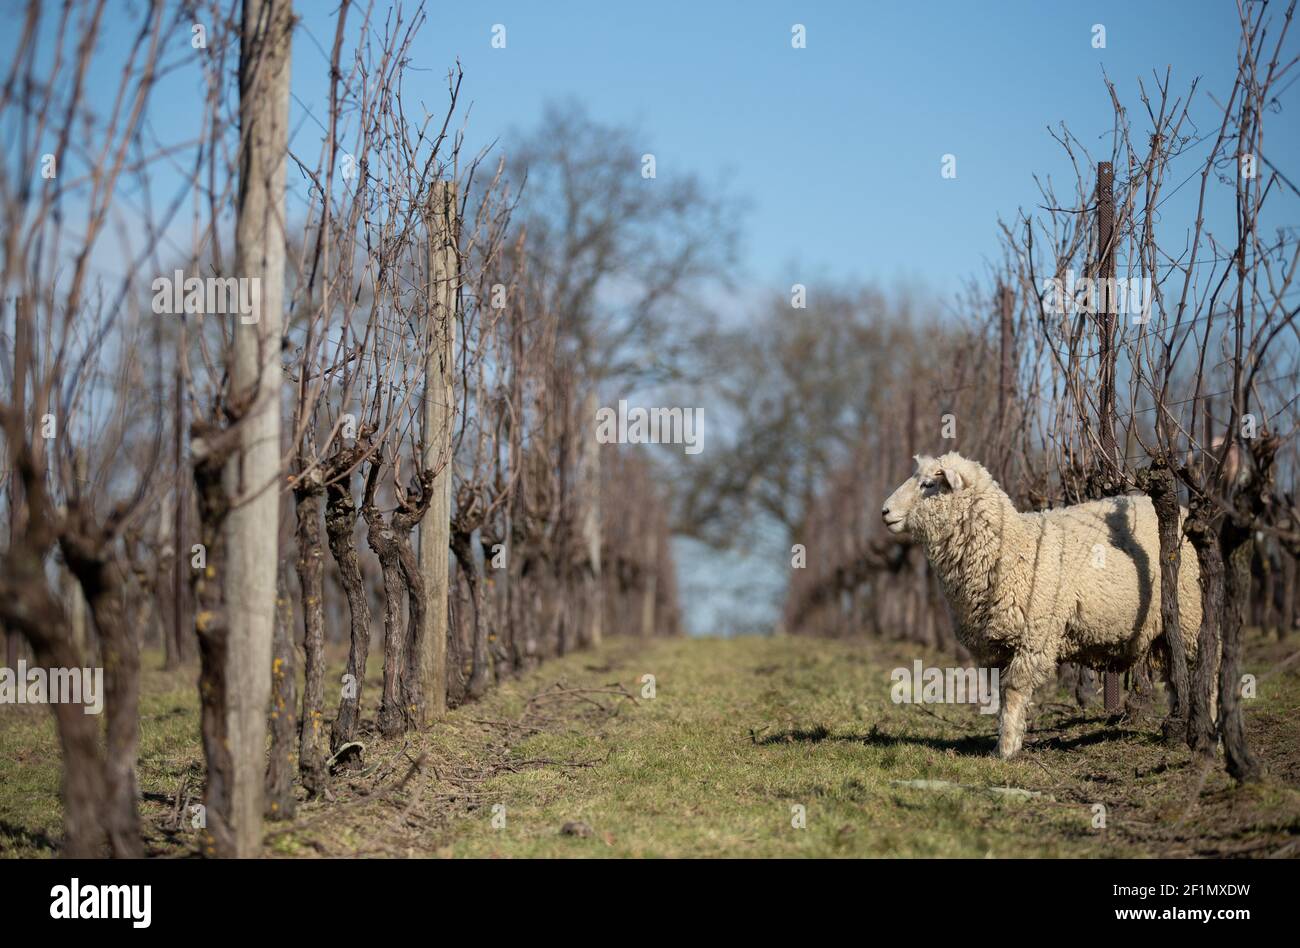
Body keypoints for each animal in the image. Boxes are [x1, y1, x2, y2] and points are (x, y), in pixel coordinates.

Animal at [881, 452, 1204, 758]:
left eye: (928, 484)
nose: (884, 511)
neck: (1011, 548)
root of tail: (1183, 513)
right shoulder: (997, 647)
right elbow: (1001, 694)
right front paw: (1004, 741)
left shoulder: (1035, 637)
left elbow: (1013, 691)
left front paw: (1006, 750)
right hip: (1167, 630)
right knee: (1176, 676)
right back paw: (1177, 725)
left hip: (1191, 615)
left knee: (1199, 671)